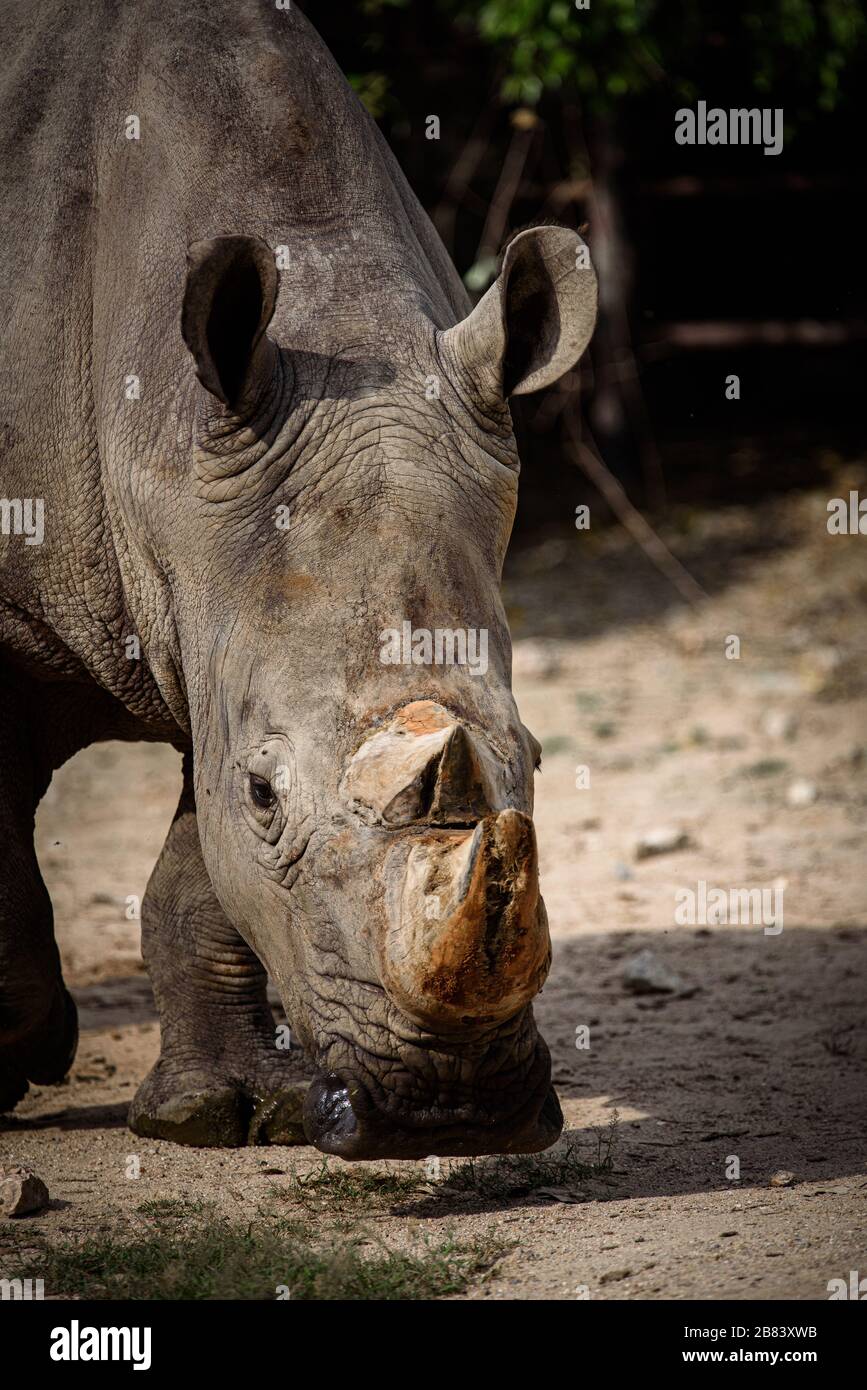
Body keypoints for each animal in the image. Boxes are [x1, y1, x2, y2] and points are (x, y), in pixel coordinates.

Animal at [0, 0, 596, 1157]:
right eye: (268, 794)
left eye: (539, 757)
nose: (449, 1108)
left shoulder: (216, 610)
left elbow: (202, 865)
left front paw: (217, 1113)